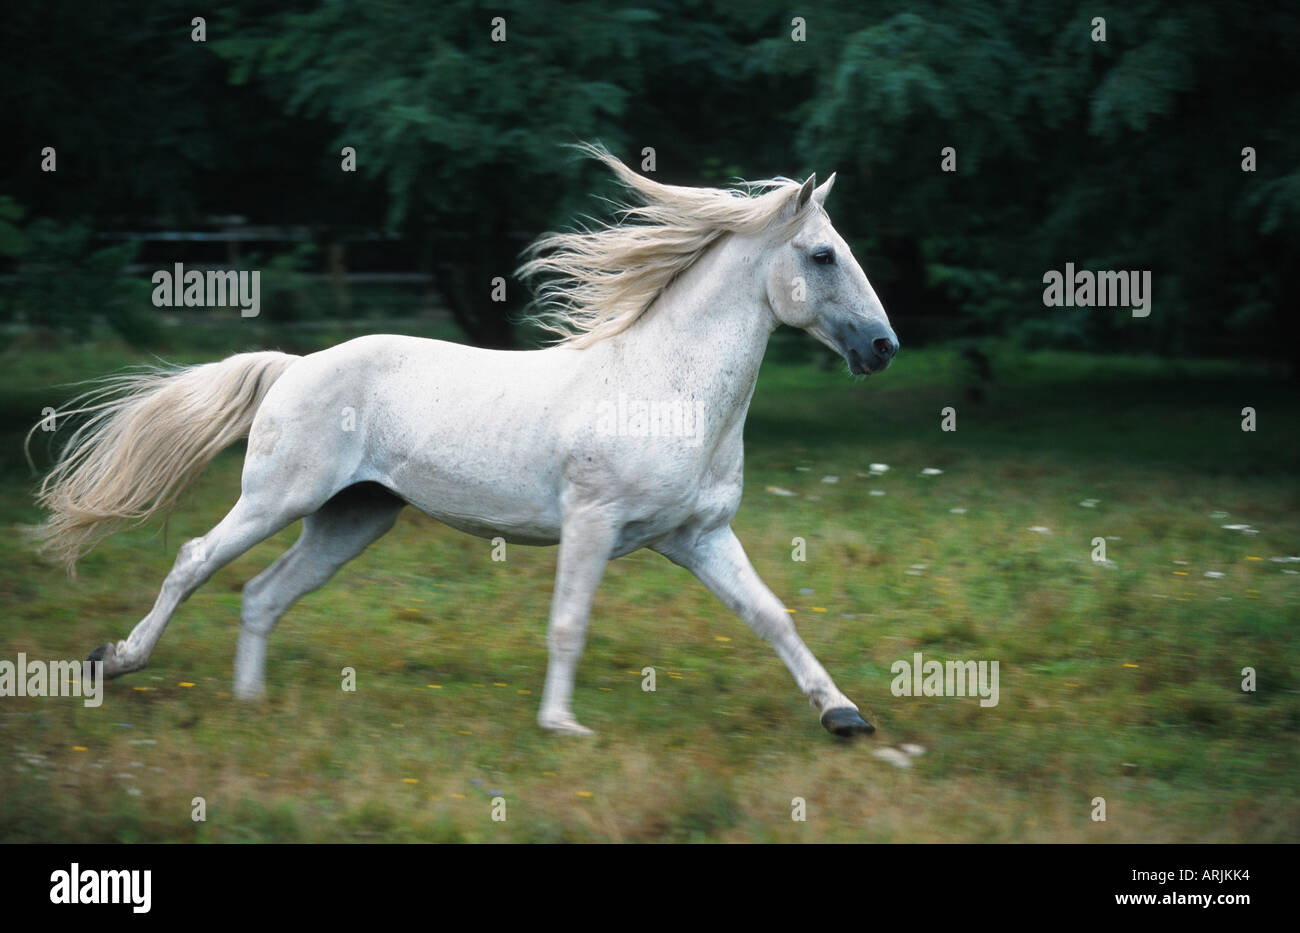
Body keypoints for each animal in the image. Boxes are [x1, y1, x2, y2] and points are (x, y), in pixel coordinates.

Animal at [29, 145, 898, 737]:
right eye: (823, 254)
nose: (883, 347)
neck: (665, 388)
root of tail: (293, 365)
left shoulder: (697, 535)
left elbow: (773, 616)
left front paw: (844, 716)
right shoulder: (593, 521)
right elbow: (569, 622)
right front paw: (561, 725)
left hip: (353, 517)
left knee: (262, 593)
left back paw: (252, 705)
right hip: (279, 497)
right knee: (195, 560)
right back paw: (114, 660)